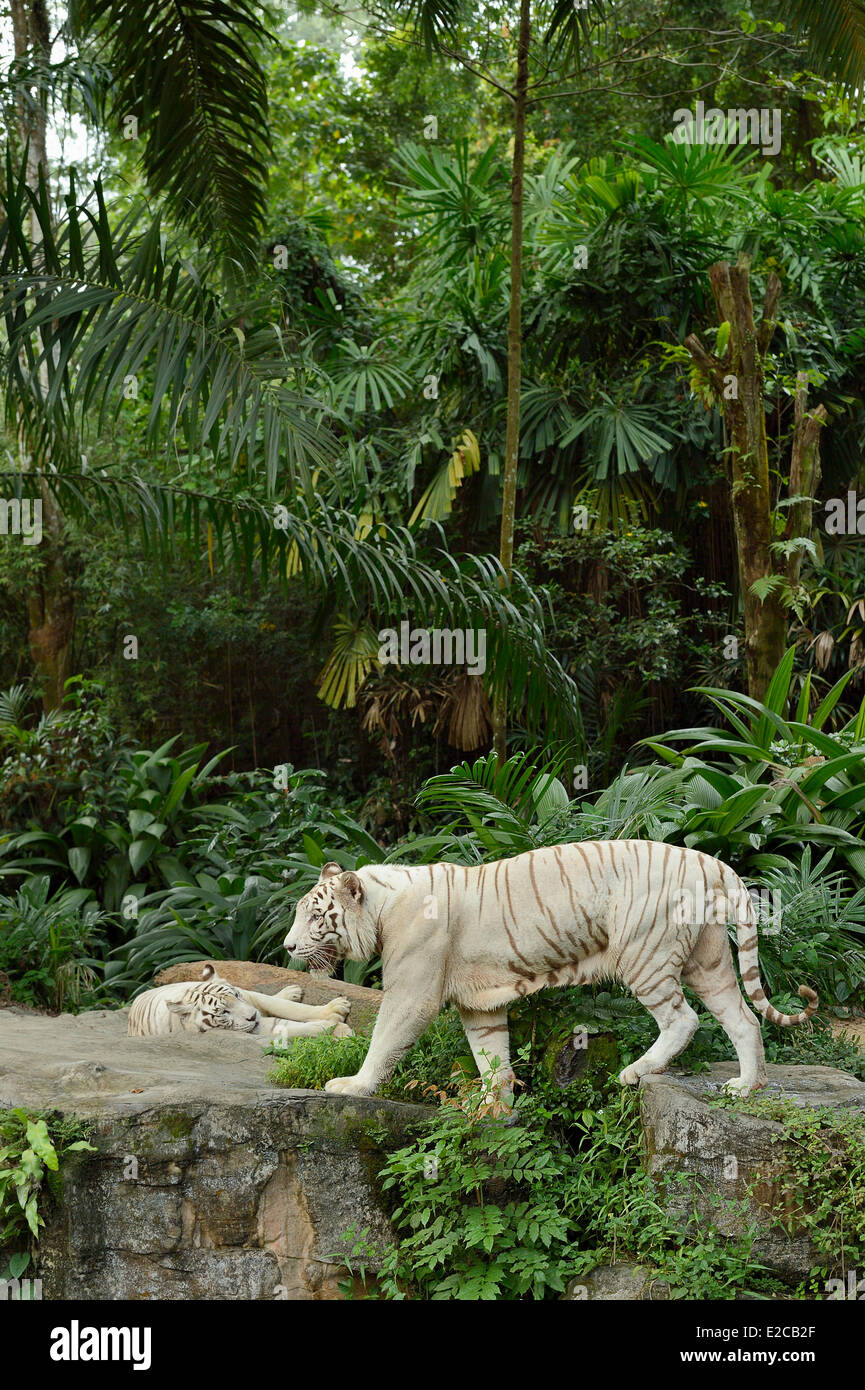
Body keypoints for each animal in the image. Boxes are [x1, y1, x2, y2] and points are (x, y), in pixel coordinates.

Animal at [127, 962, 354, 1039]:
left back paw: (292, 991)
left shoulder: (249, 998)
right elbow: (289, 1026)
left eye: (235, 996)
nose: (252, 1016)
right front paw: (338, 1027)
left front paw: (337, 1008)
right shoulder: (254, 1029)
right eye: (223, 1013)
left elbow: (290, 1008)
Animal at [284, 843, 817, 1101]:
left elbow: (384, 1039)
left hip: (644, 955)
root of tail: (712, 862)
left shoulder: (412, 994)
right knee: (743, 1020)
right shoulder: (480, 1004)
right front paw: (494, 1106)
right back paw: (746, 1086)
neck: (380, 907)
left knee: (683, 1020)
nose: (288, 946)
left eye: (316, 916)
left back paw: (636, 1072)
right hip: (708, 961)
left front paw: (354, 1087)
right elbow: (491, 1056)